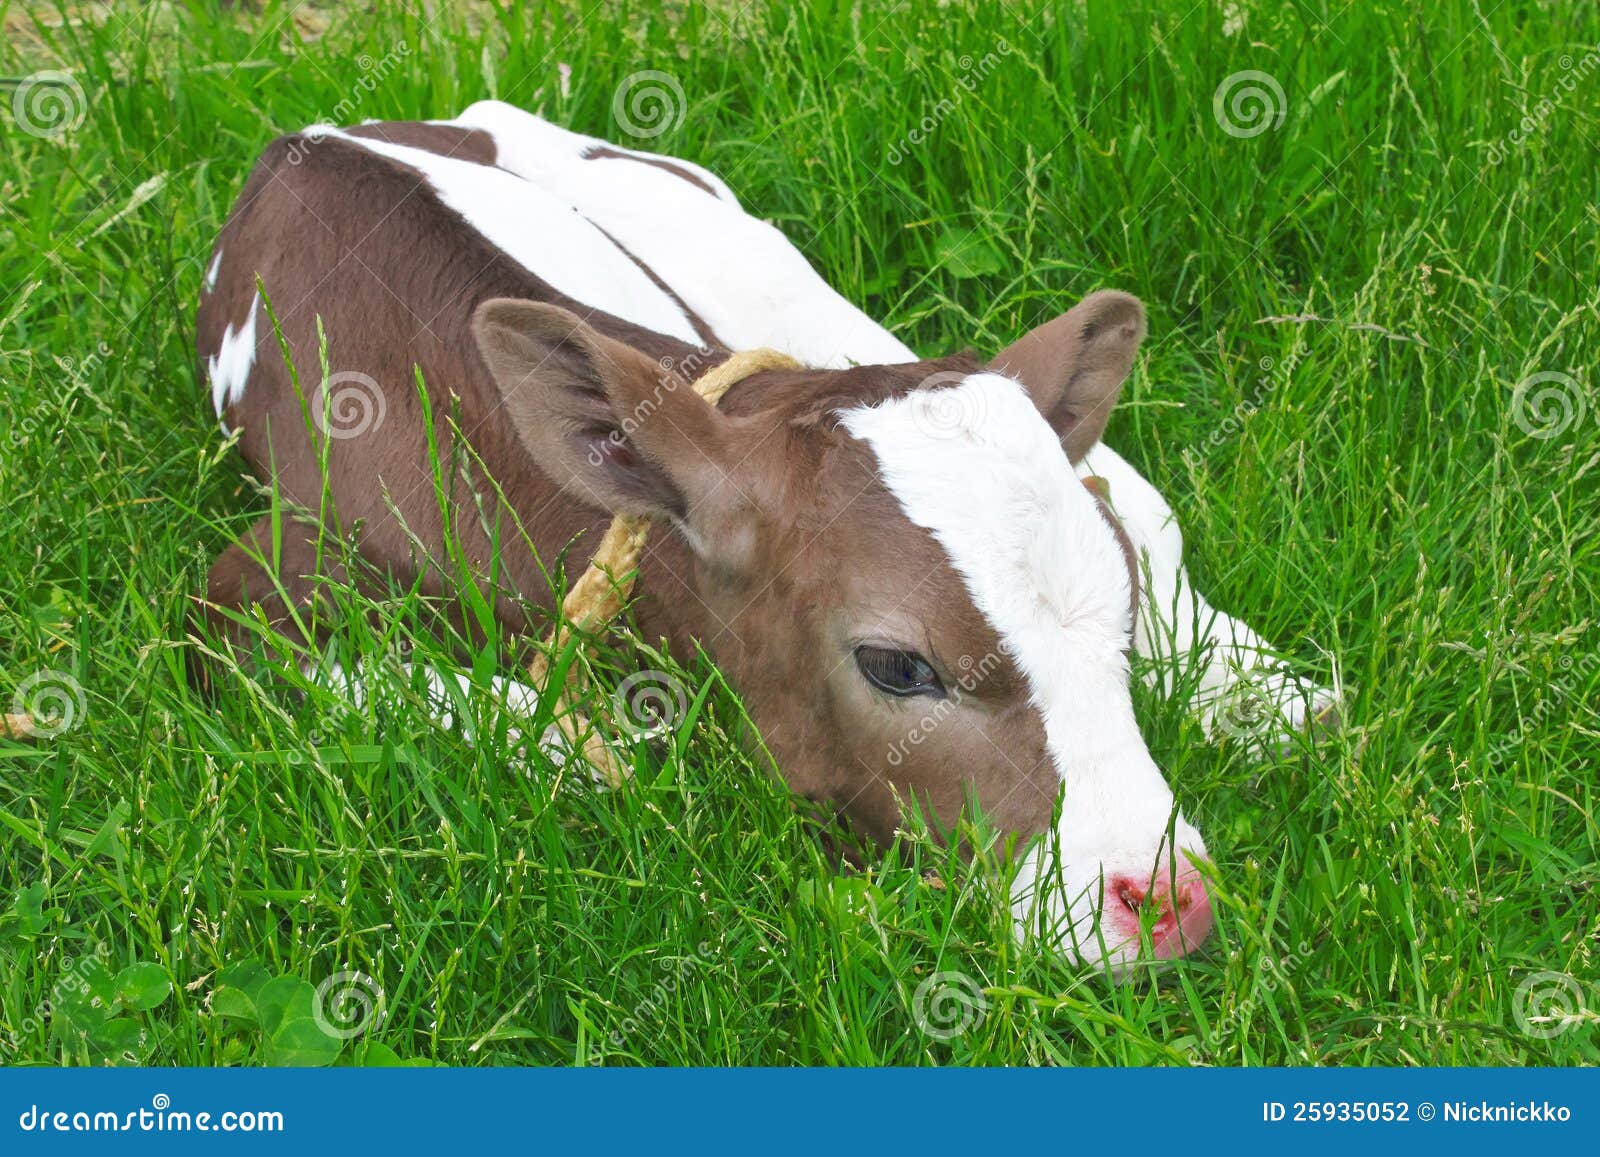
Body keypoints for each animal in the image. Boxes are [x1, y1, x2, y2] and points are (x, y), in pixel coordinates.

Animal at [194, 101, 1338, 973]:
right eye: (897, 665)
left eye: (1121, 614)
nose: (1168, 899)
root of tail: (332, 128)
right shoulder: (246, 592)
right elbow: (563, 738)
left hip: (763, 263)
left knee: (1132, 486)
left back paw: (1274, 695)